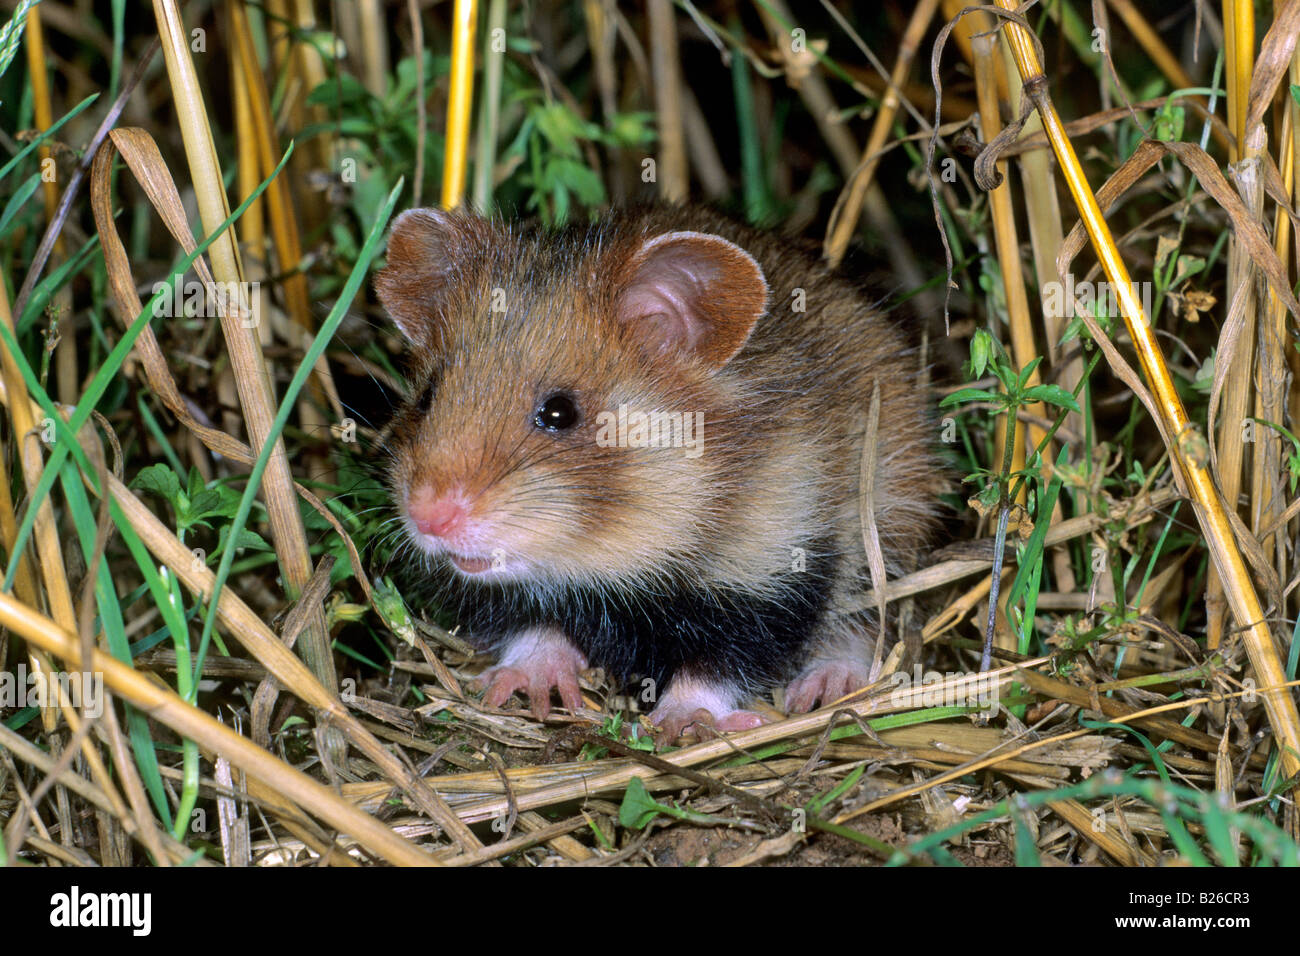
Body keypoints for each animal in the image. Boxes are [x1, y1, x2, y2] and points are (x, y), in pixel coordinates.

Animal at [376, 205, 939, 740]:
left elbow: (720, 663)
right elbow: (534, 626)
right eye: (427, 396)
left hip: (888, 525)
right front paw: (530, 686)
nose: (427, 517)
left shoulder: (776, 568)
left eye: (559, 412)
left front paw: (680, 724)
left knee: (864, 621)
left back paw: (827, 688)